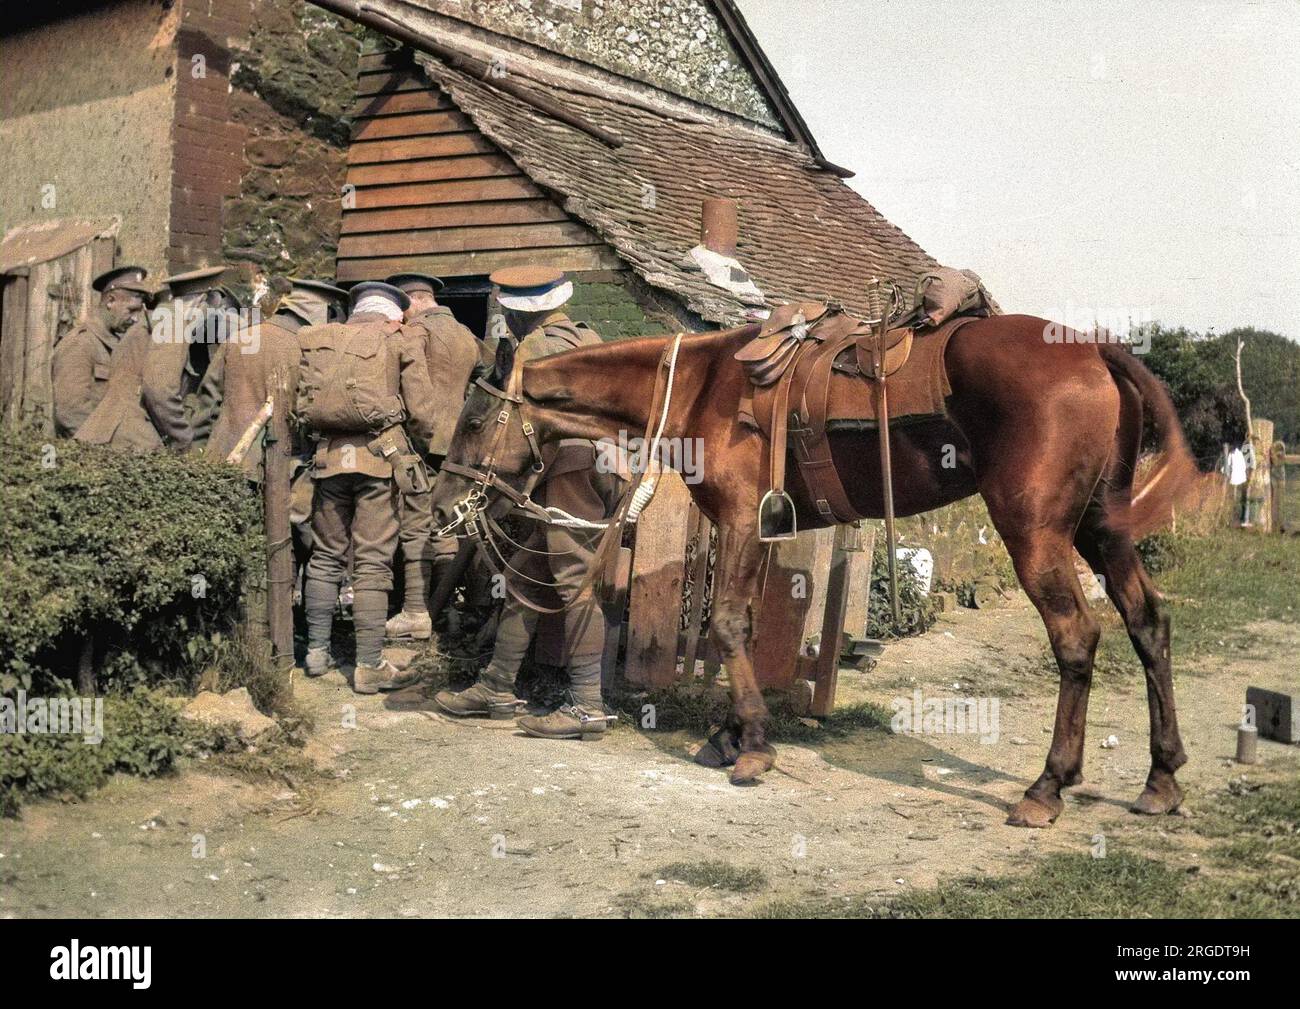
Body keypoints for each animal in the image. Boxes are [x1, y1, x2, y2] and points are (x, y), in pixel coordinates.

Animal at [429, 314, 1199, 828]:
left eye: (474, 421)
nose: (440, 508)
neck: (704, 385)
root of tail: (1096, 350)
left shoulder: (741, 518)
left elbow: (726, 625)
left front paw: (753, 747)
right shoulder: (762, 529)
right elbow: (735, 630)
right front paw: (728, 734)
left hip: (1037, 533)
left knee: (1077, 639)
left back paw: (1046, 788)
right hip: (1102, 529)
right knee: (1149, 622)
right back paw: (1161, 778)